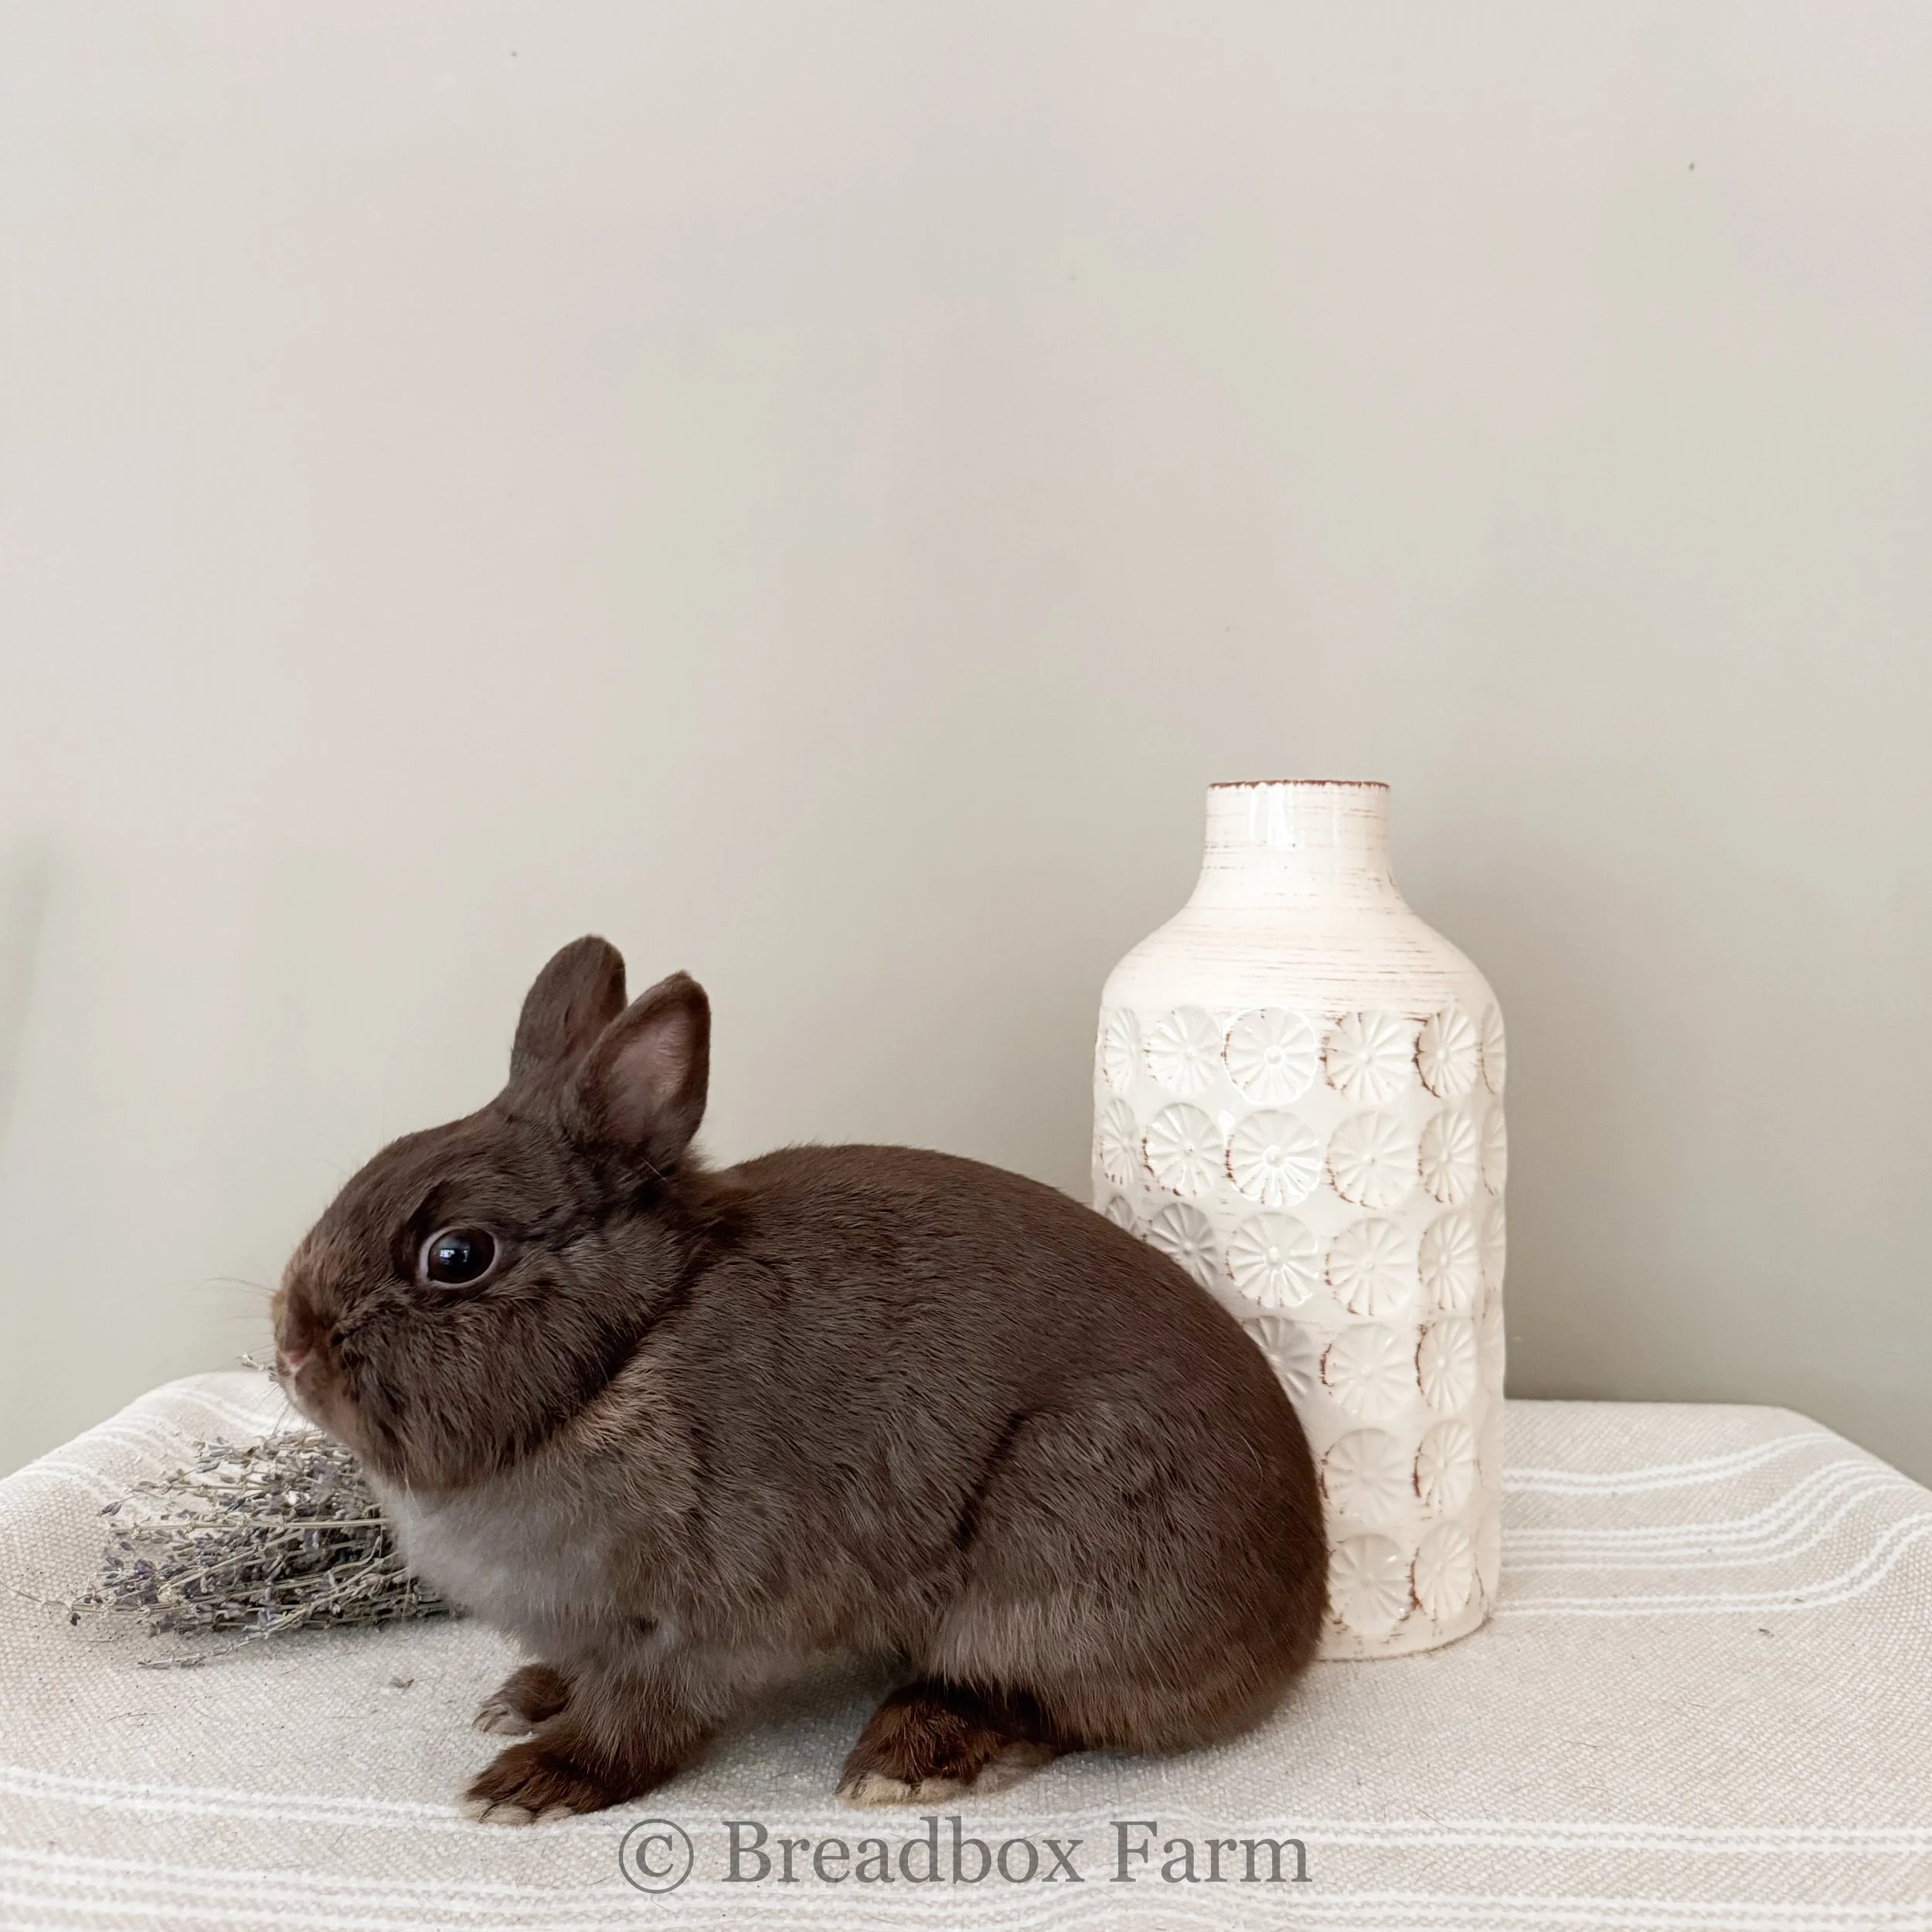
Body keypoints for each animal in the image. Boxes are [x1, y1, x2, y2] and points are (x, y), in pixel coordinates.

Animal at [272, 936, 1326, 1824]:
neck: (622, 1356)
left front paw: (533, 1781)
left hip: (1059, 1551)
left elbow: (639, 1715)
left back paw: (909, 1759)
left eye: (457, 1255)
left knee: (1039, 1699)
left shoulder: (689, 1622)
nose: (290, 1352)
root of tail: (1296, 1626)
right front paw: (526, 1699)